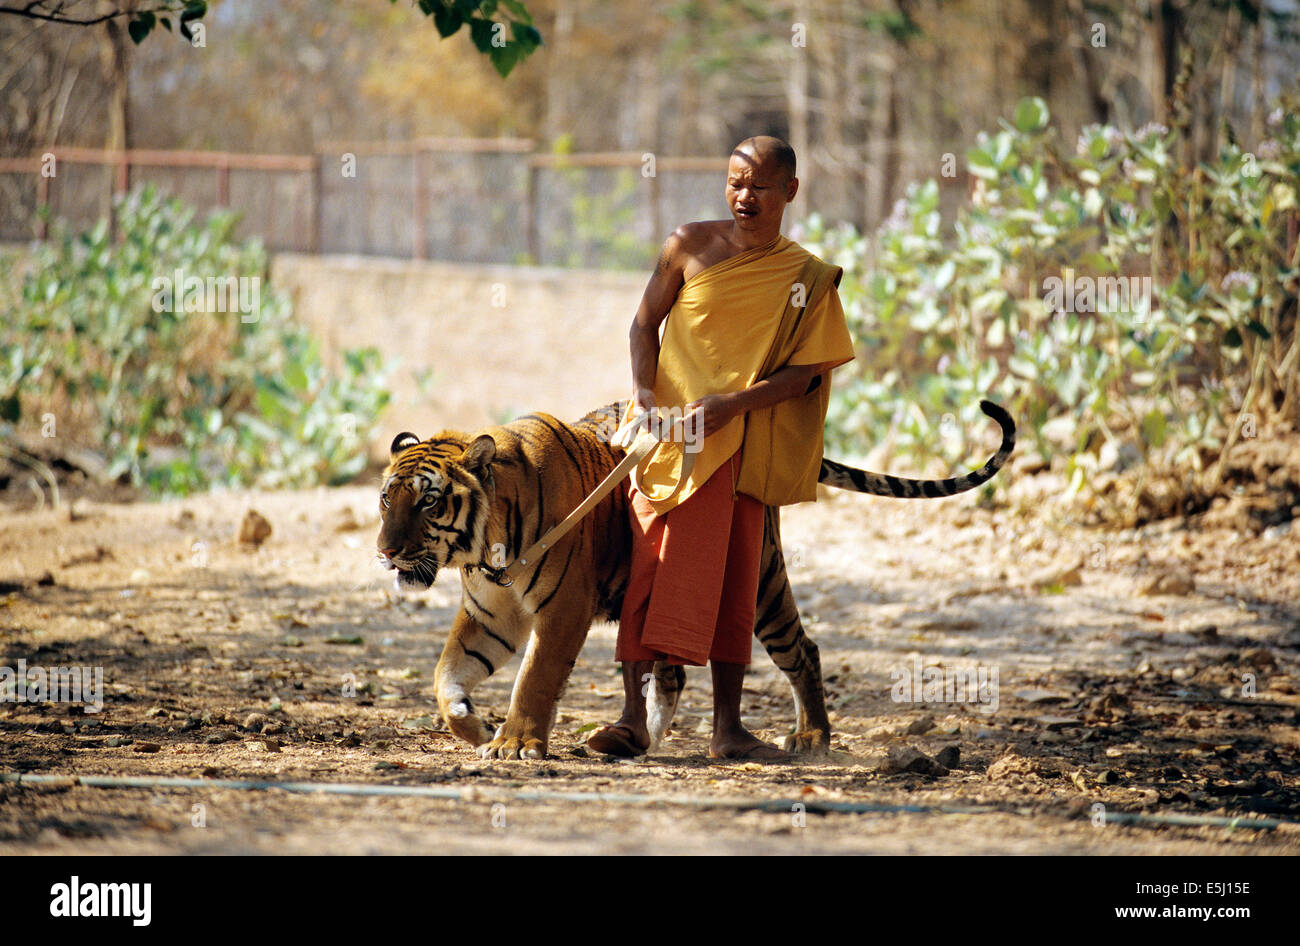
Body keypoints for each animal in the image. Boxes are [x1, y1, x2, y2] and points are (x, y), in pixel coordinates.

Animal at [377, 399, 1014, 760]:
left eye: (428, 502)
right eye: (386, 500)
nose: (385, 552)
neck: (485, 546)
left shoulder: (562, 609)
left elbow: (534, 678)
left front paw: (513, 743)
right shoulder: (489, 614)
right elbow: (445, 674)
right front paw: (471, 726)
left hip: (762, 581)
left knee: (801, 648)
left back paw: (812, 738)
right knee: (670, 670)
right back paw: (639, 738)